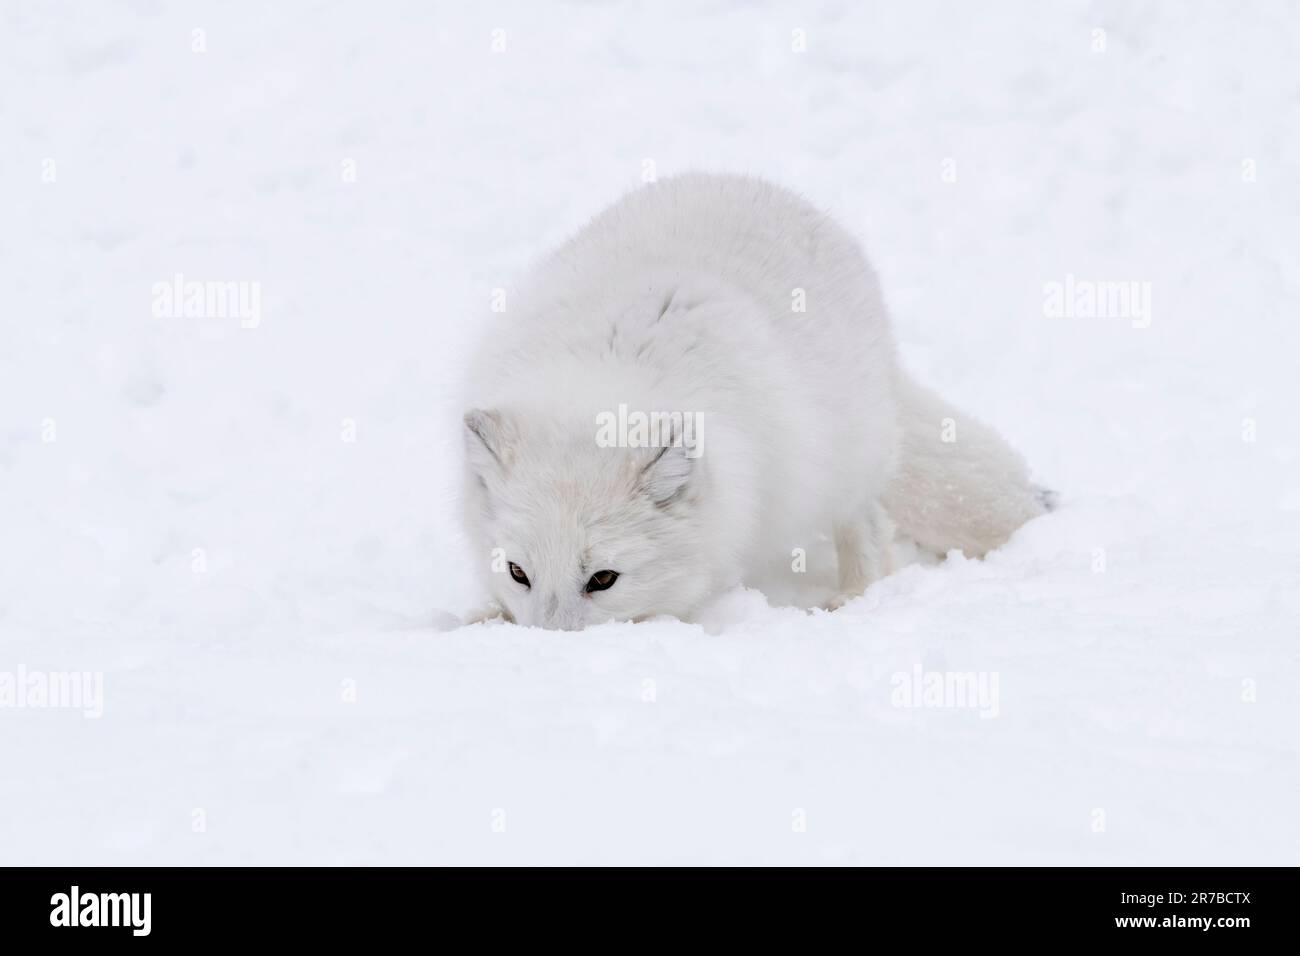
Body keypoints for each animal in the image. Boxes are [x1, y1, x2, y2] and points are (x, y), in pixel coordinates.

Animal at [460, 173, 1051, 630]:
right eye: (518, 573)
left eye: (603, 579)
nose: (550, 648)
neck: (608, 379)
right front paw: (484, 619)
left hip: (848, 453)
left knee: (868, 528)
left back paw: (851, 598)